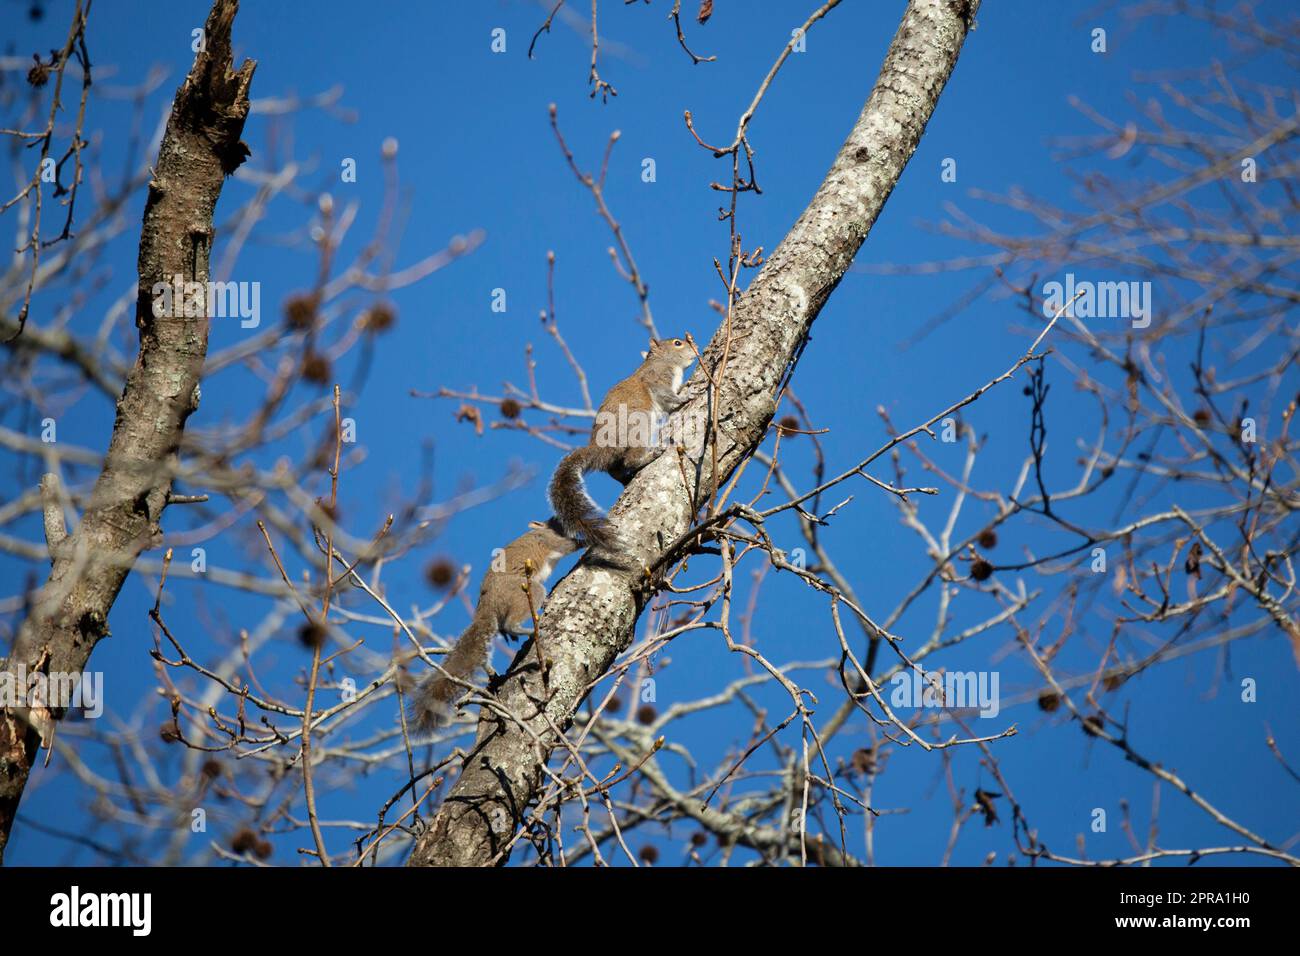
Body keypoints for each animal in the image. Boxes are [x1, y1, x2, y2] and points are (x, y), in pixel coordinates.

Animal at [411, 518, 578, 730]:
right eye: (556, 522)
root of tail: (487, 606)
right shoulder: (550, 540)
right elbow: (568, 545)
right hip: (524, 591)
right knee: (510, 622)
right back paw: (530, 630)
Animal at [548, 337, 696, 550]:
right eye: (677, 343)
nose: (696, 347)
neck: (663, 361)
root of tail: (600, 449)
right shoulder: (657, 378)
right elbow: (667, 395)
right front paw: (686, 395)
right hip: (640, 427)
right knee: (629, 460)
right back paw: (651, 455)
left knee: (614, 470)